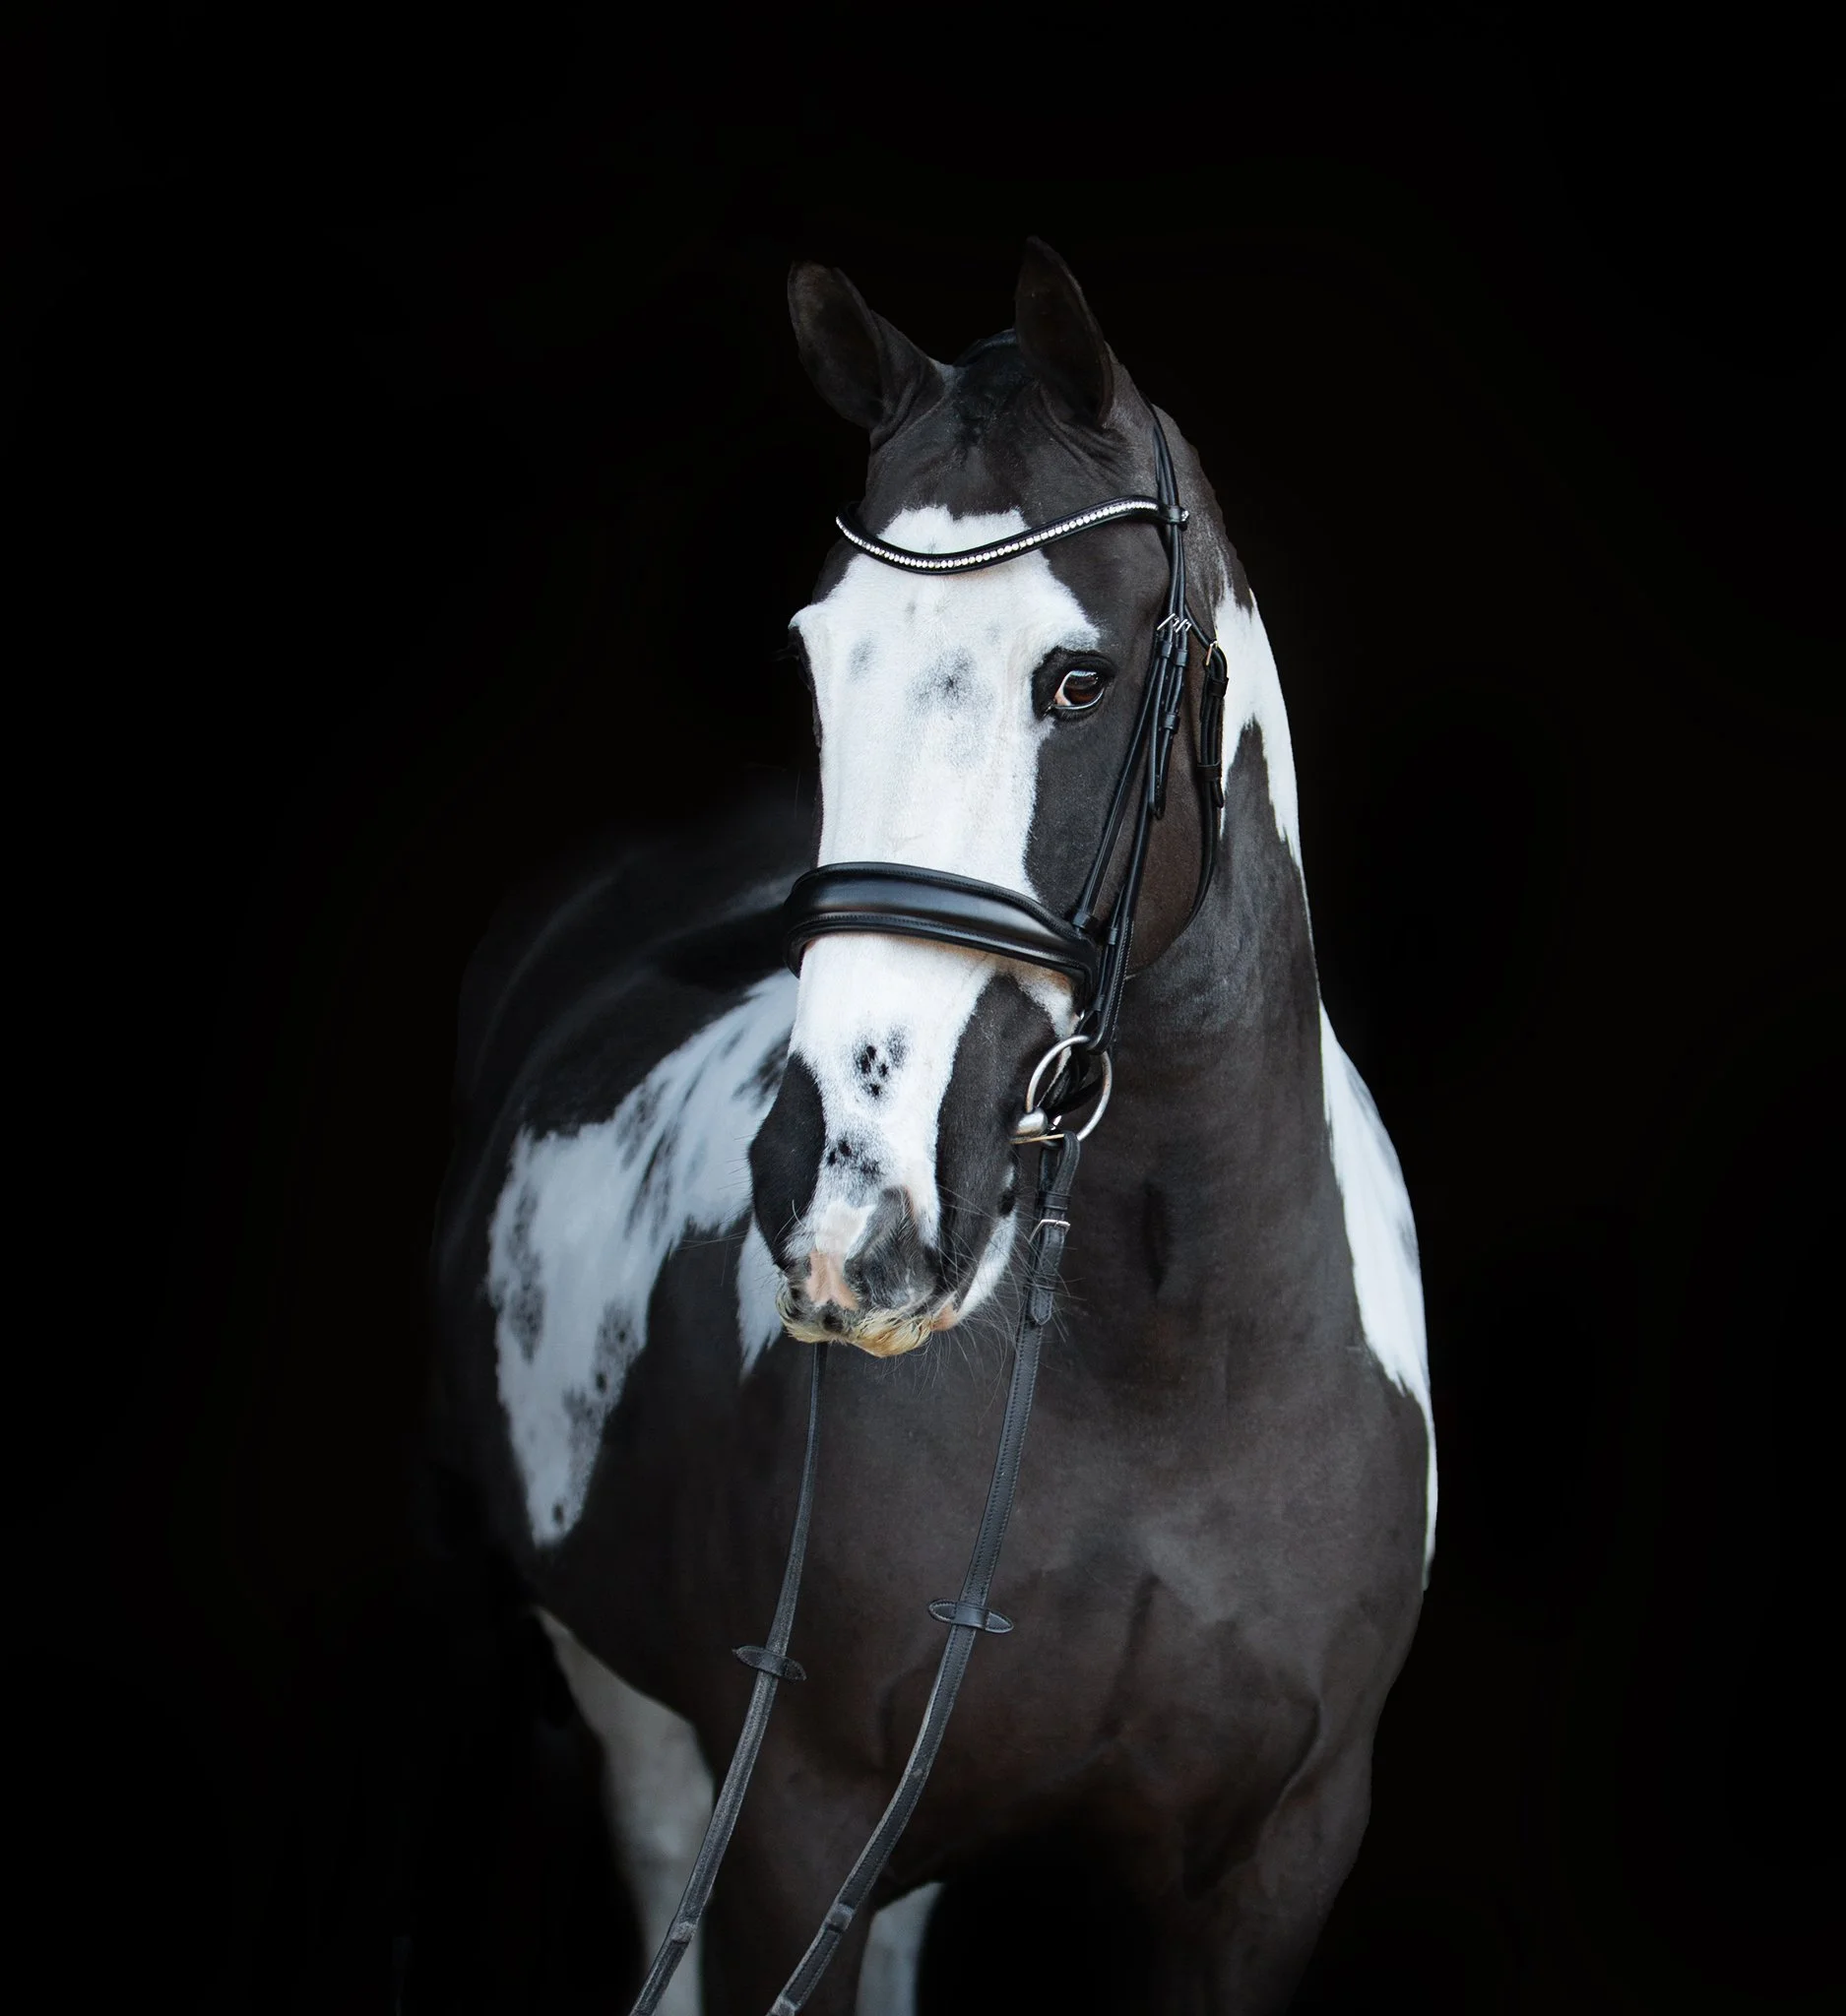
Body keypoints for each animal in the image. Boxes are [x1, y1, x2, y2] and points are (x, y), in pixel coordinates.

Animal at [431, 240, 1434, 2015]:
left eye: (1079, 677)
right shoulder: (790, 1827)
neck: (1165, 1373)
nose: (848, 1201)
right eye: (819, 659)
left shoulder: (1270, 1863)